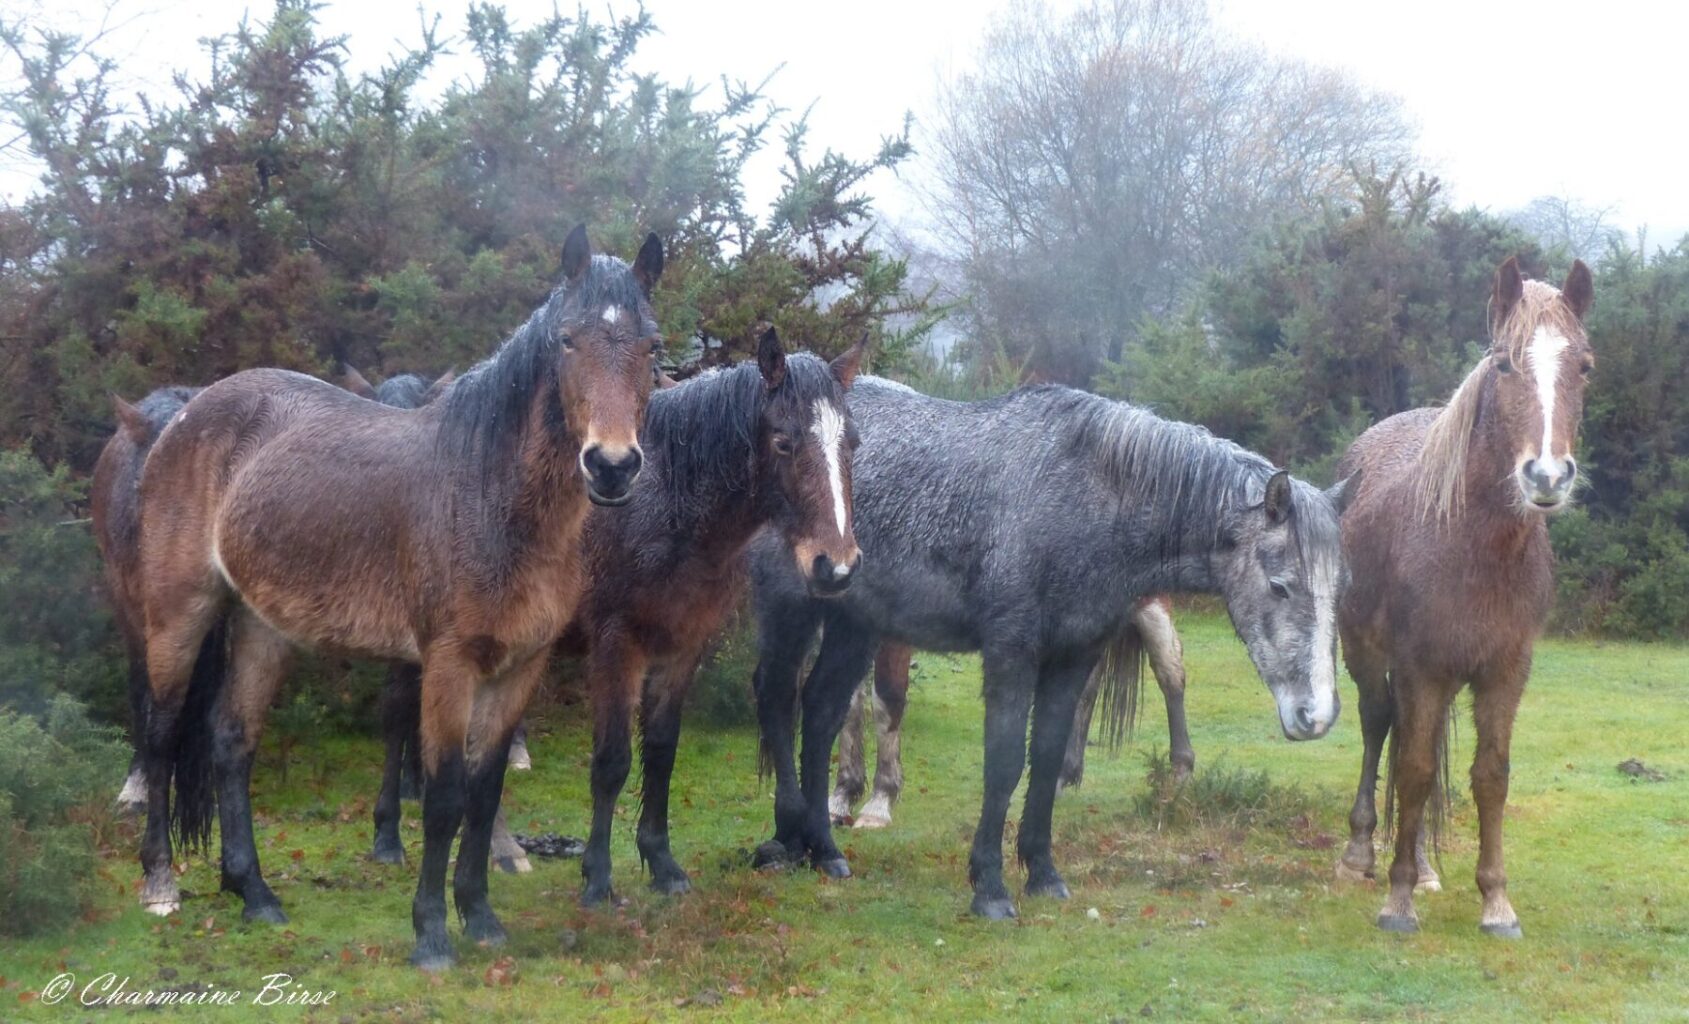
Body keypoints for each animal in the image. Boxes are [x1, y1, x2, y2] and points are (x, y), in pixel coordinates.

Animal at [132, 226, 664, 970]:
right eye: (567, 339)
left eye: (653, 346)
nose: (612, 466)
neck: (489, 498)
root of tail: (185, 415)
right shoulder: (447, 664)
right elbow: (443, 797)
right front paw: (432, 935)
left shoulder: (518, 668)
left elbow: (485, 790)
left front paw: (480, 917)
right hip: (178, 612)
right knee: (158, 733)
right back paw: (160, 884)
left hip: (263, 627)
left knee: (232, 740)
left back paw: (255, 895)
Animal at [828, 596, 1190, 829]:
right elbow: (849, 703)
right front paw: (842, 796)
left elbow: (886, 700)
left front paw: (879, 804)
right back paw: (1061, 775)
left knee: (1170, 669)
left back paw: (1178, 776)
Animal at [1334, 257, 1595, 939]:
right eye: (1503, 364)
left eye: (1584, 366)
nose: (1546, 476)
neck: (1475, 547)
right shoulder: (1420, 667)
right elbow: (1415, 769)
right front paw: (1396, 901)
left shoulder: (1505, 670)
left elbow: (1489, 776)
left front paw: (1496, 902)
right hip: (1363, 652)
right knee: (1380, 727)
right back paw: (1361, 853)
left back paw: (1424, 864)